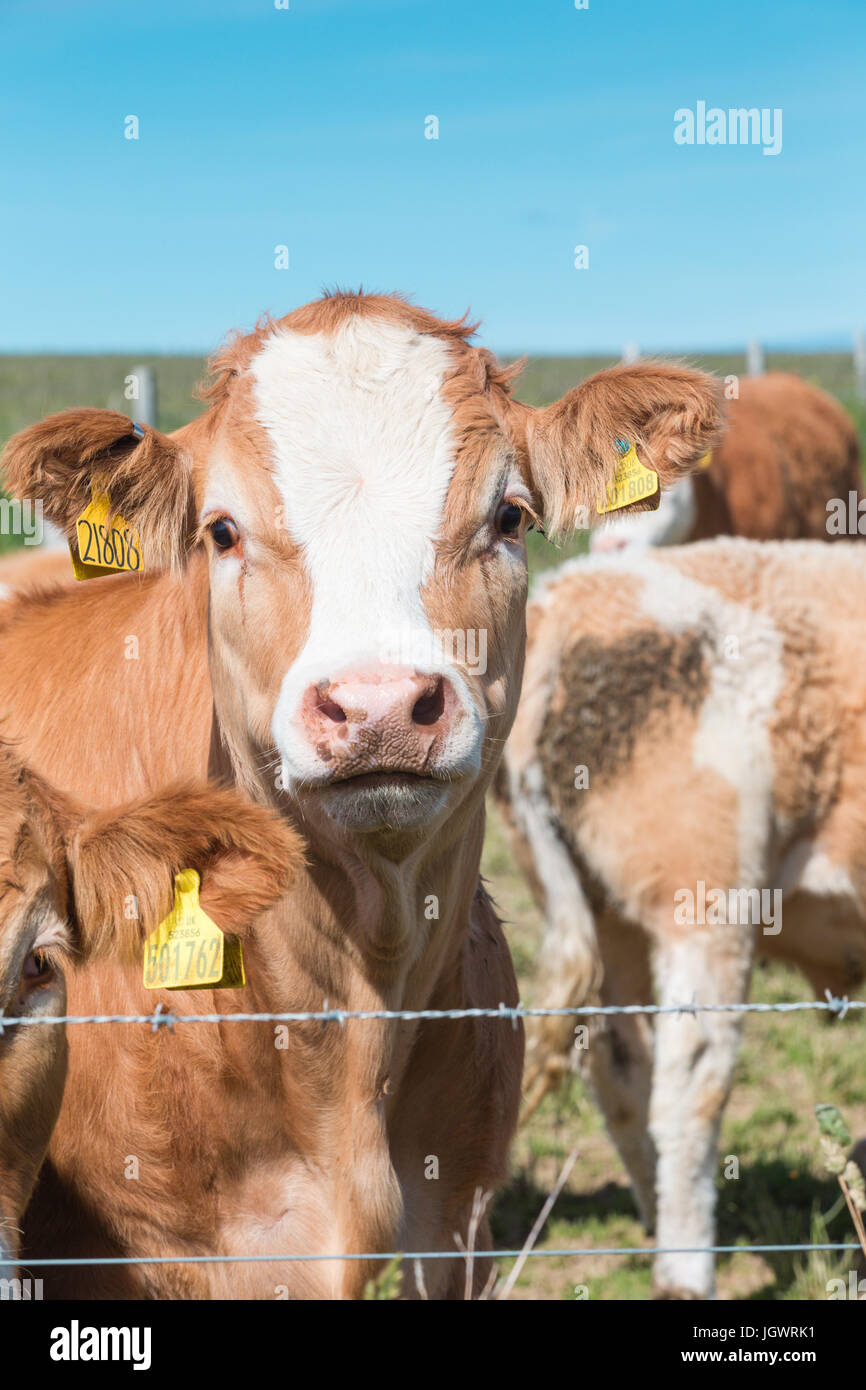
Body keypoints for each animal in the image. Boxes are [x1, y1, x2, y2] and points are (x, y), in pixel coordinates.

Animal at [497, 536, 866, 1299]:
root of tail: (566, 600)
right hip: (706, 901)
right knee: (689, 1088)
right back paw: (685, 1267)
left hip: (606, 913)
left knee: (619, 1071)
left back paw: (652, 1215)